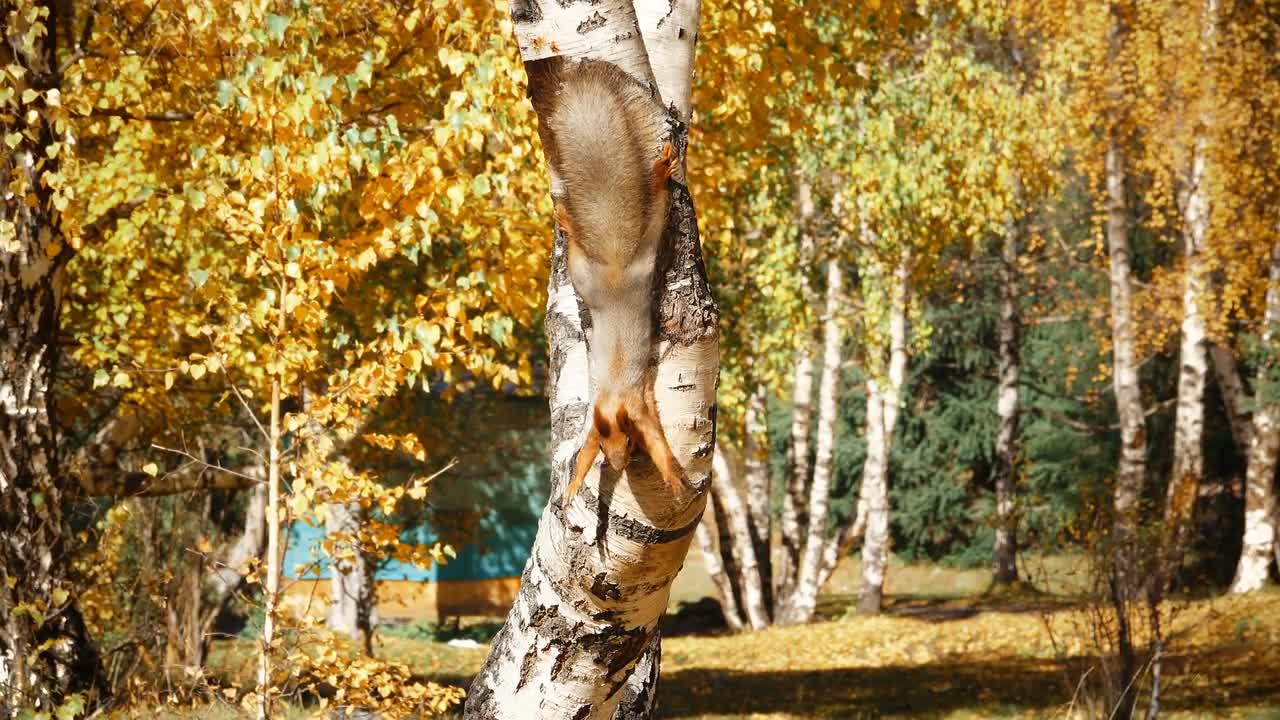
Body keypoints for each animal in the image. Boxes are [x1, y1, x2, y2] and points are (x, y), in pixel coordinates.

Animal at [538, 59, 685, 503]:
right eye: (606, 447)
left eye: (629, 442)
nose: (620, 464)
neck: (614, 397)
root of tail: (617, 267)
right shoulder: (599, 417)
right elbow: (583, 452)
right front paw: (573, 485)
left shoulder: (638, 406)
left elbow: (658, 441)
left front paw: (671, 476)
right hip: (592, 274)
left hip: (641, 253)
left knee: (657, 205)